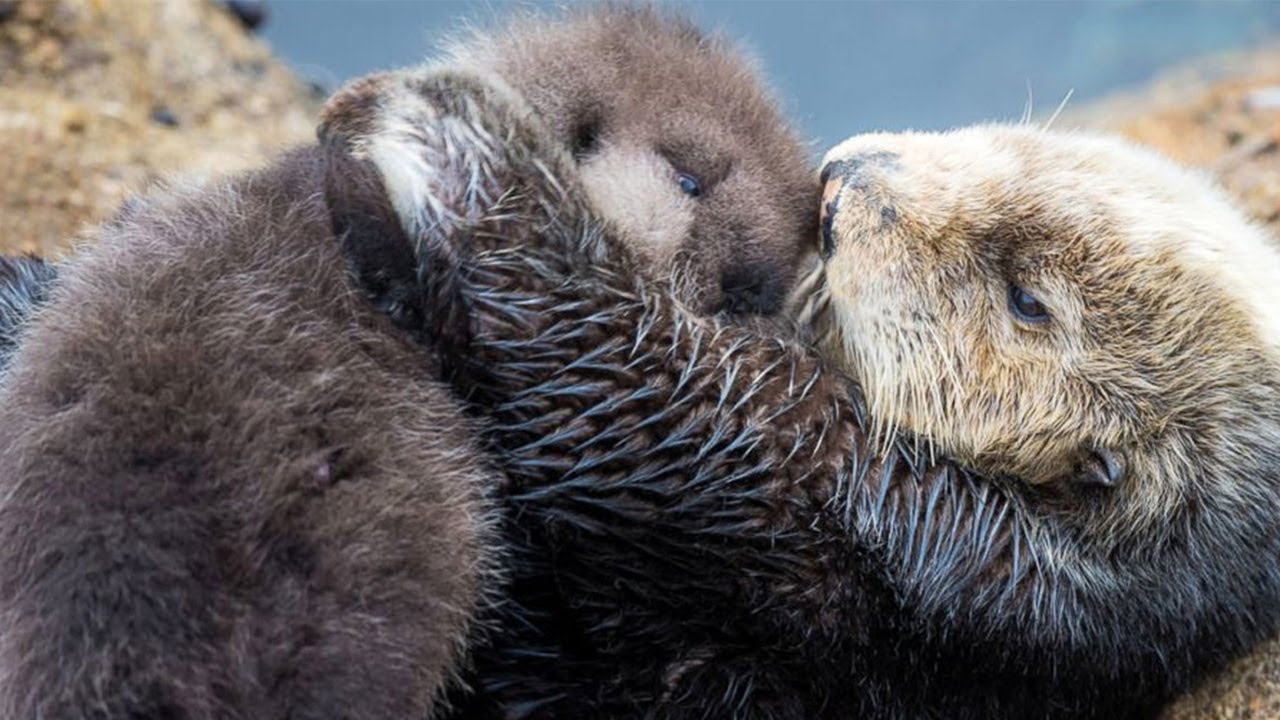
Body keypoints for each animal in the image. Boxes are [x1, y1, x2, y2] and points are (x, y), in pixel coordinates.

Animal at [325, 73, 1280, 717]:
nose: (845, 177)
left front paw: (443, 128)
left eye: (1028, 302)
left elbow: (641, 390)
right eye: (1019, 148)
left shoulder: (884, 535)